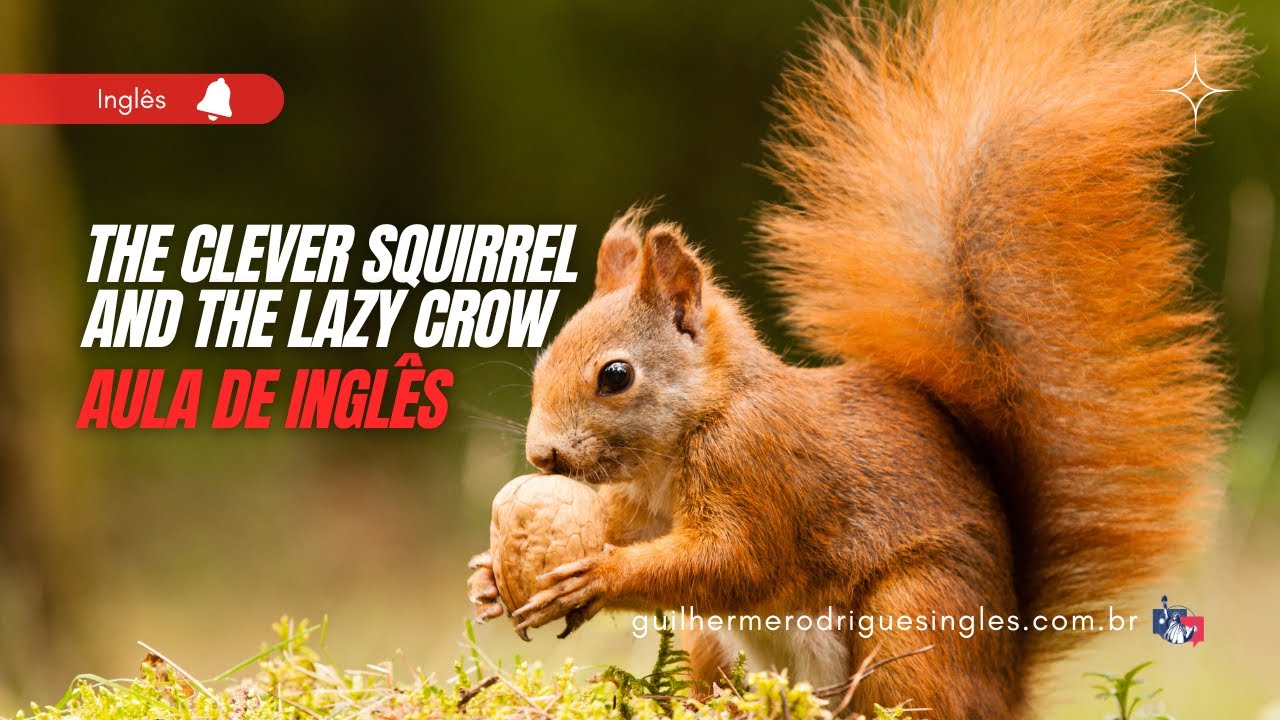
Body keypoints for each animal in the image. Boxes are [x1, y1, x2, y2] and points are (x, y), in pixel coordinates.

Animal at [466, 0, 1249, 716]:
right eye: (544, 361)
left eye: (616, 376)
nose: (541, 456)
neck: (692, 429)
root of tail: (1005, 681)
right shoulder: (642, 502)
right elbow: (632, 529)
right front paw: (487, 576)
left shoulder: (760, 467)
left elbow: (733, 560)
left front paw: (596, 575)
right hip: (720, 644)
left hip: (913, 616)